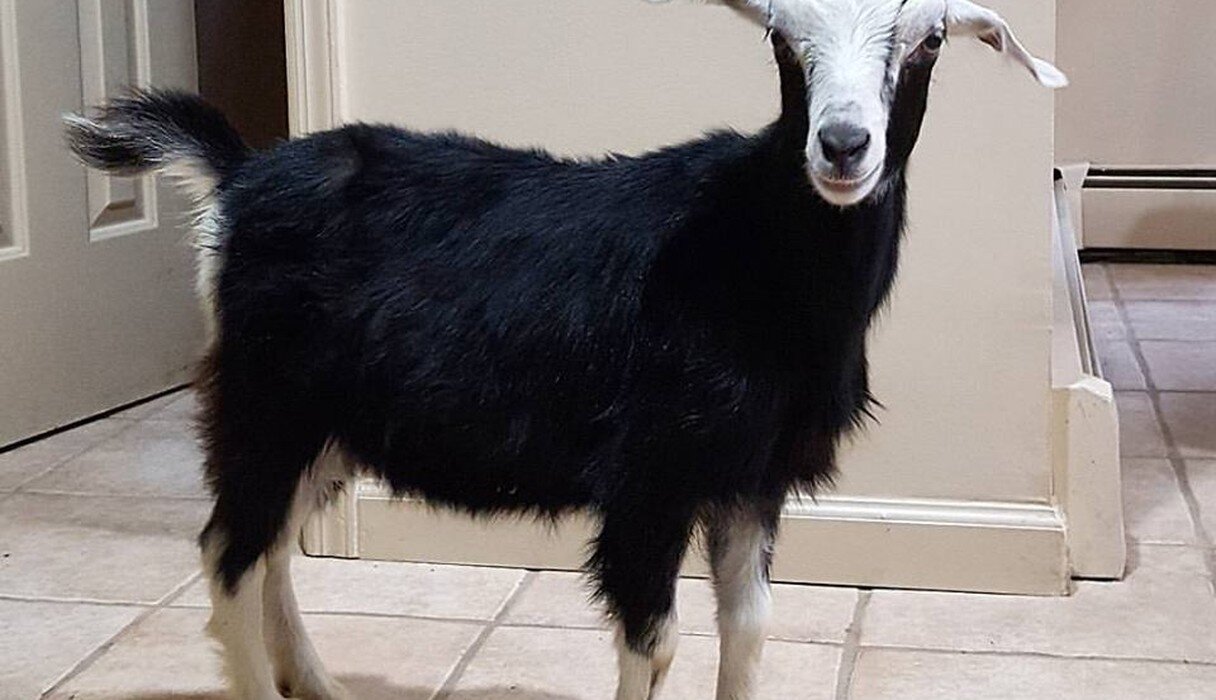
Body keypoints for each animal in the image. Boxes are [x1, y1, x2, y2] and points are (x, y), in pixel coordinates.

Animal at [65, 1, 1063, 698]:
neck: (754, 249)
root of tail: (236, 181)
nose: (844, 145)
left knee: (269, 546)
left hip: (327, 424)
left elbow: (750, 627)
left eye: (928, 41)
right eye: (783, 40)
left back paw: (317, 681)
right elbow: (654, 641)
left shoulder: (752, 476)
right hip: (268, 396)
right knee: (228, 550)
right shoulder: (651, 475)